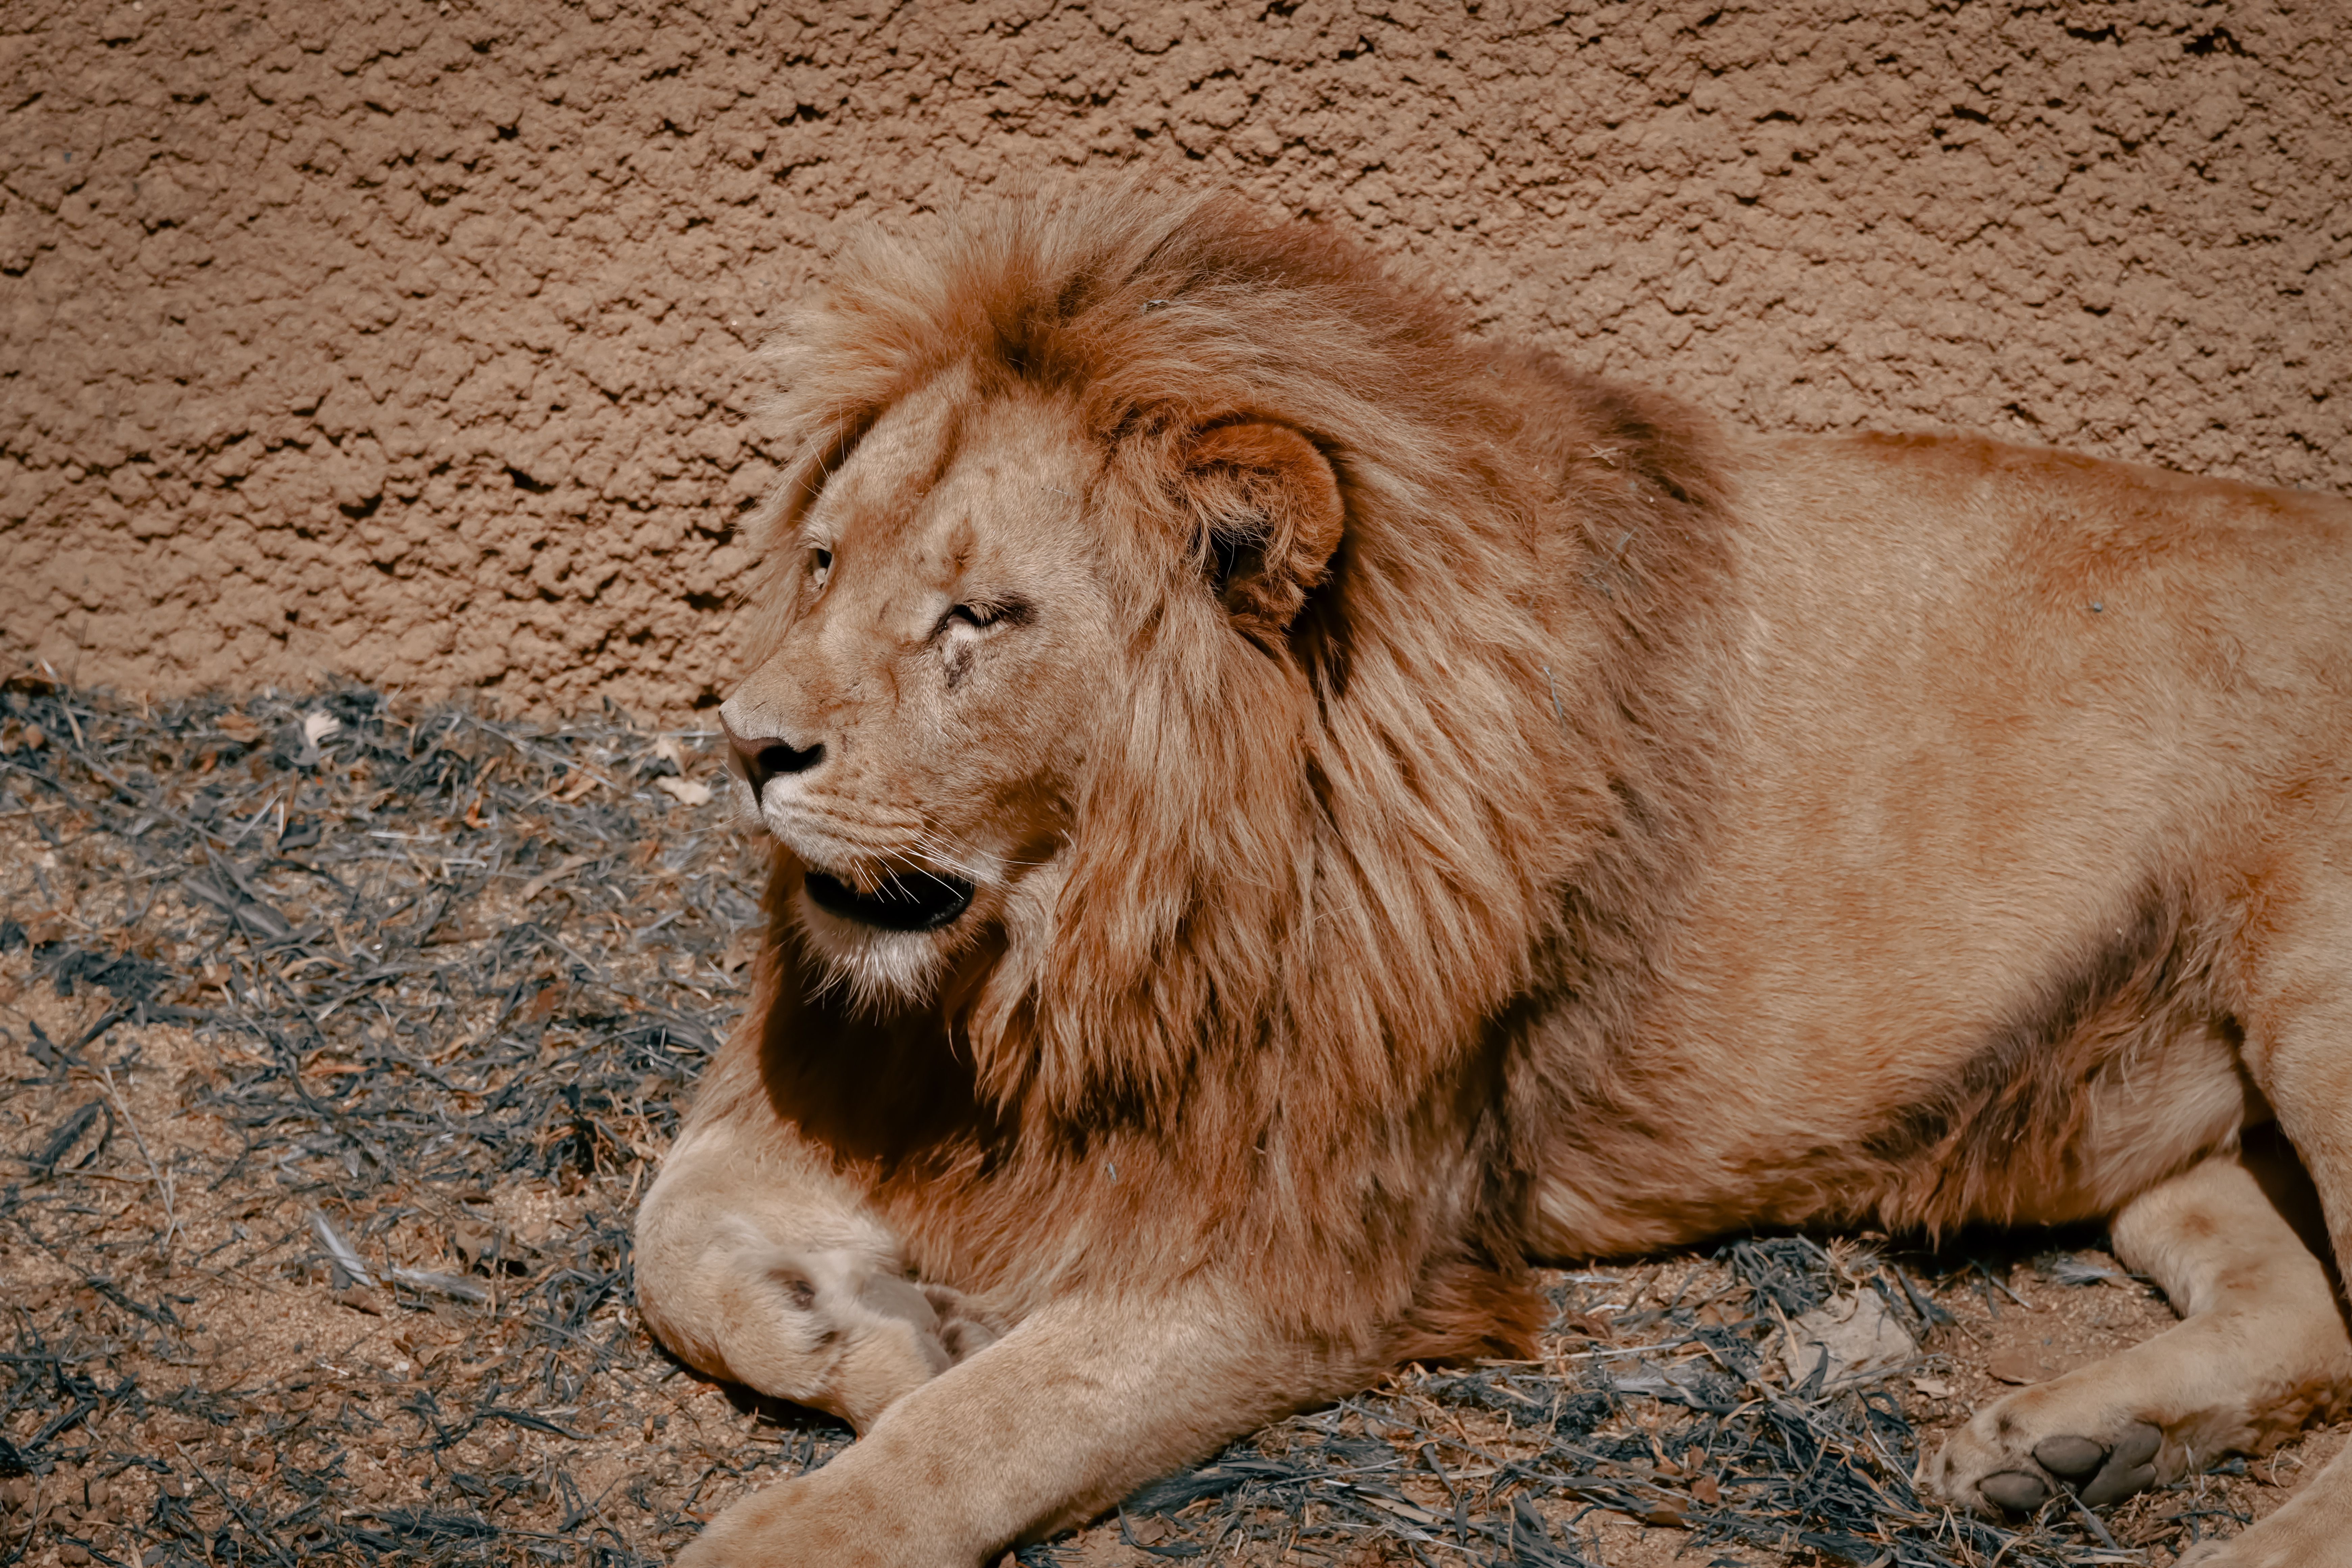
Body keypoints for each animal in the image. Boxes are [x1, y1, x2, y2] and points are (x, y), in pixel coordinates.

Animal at [633, 187, 2352, 1567]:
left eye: (977, 619)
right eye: (824, 563)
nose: (746, 743)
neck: (1083, 937)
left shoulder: (1310, 1247)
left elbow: (990, 1426)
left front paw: (821, 1498)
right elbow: (671, 1232)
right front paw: (878, 1329)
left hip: (2318, 1012)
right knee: (2307, 1308)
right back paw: (2067, 1451)